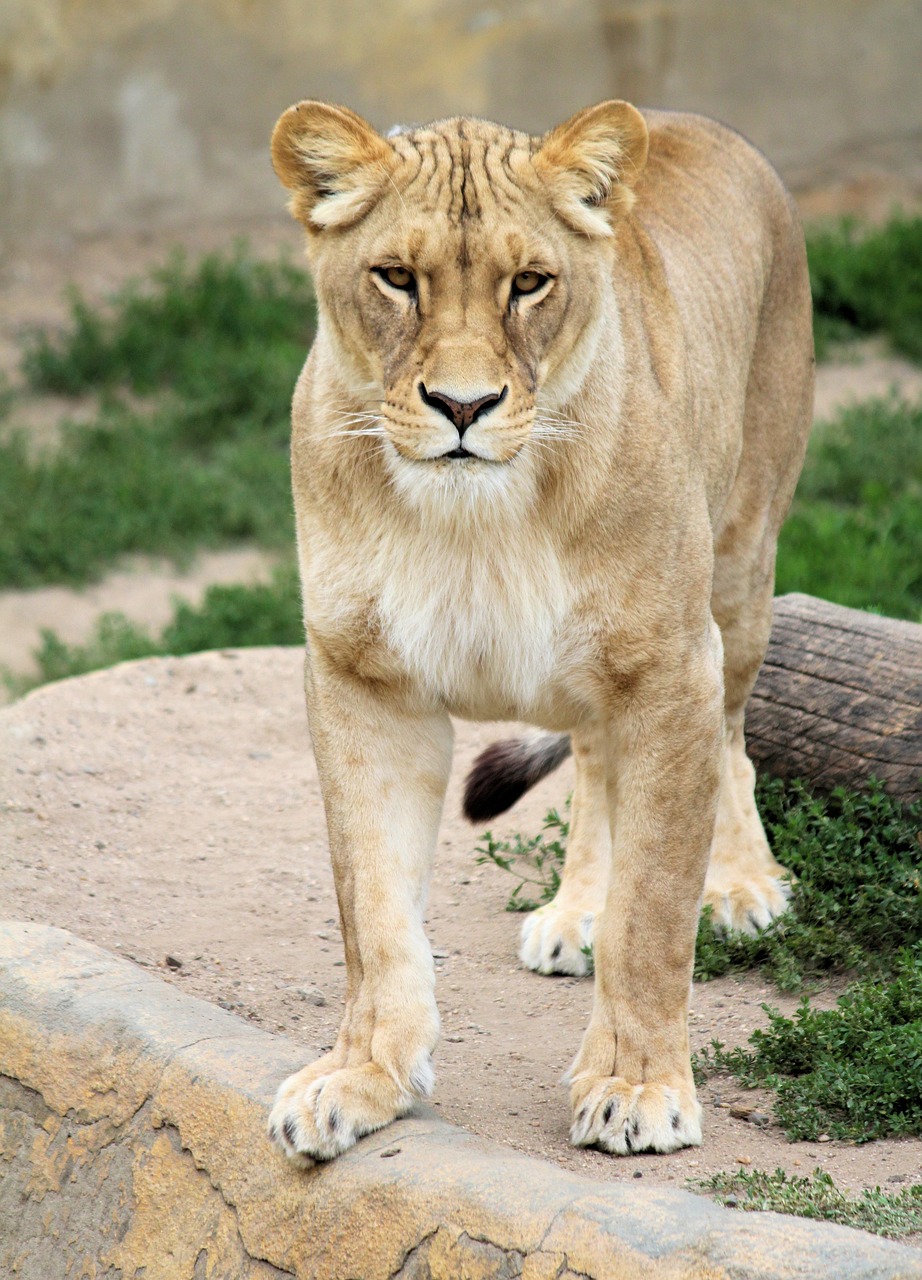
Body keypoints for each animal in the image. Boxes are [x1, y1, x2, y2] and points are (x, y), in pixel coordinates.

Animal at [265, 98, 813, 1163]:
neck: (475, 518)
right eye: (397, 277)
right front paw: (360, 1077)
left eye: (529, 283)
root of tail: (696, 121)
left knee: (733, 742)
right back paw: (575, 910)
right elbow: (373, 910)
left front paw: (638, 1089)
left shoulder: (671, 664)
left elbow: (655, 909)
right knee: (598, 764)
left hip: (738, 573)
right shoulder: (362, 679)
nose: (463, 406)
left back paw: (741, 885)